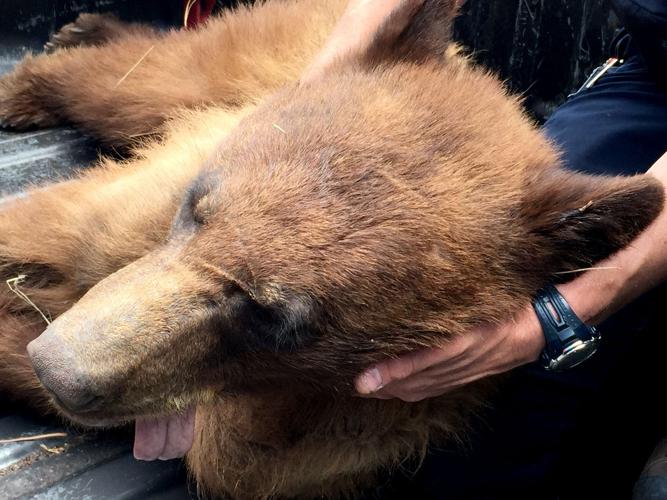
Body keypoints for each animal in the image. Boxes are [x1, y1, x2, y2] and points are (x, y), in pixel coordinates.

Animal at [0, 0, 662, 498]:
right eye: (197, 204)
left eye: (273, 314)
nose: (60, 369)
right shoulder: (145, 208)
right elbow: (55, 228)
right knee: (139, 79)